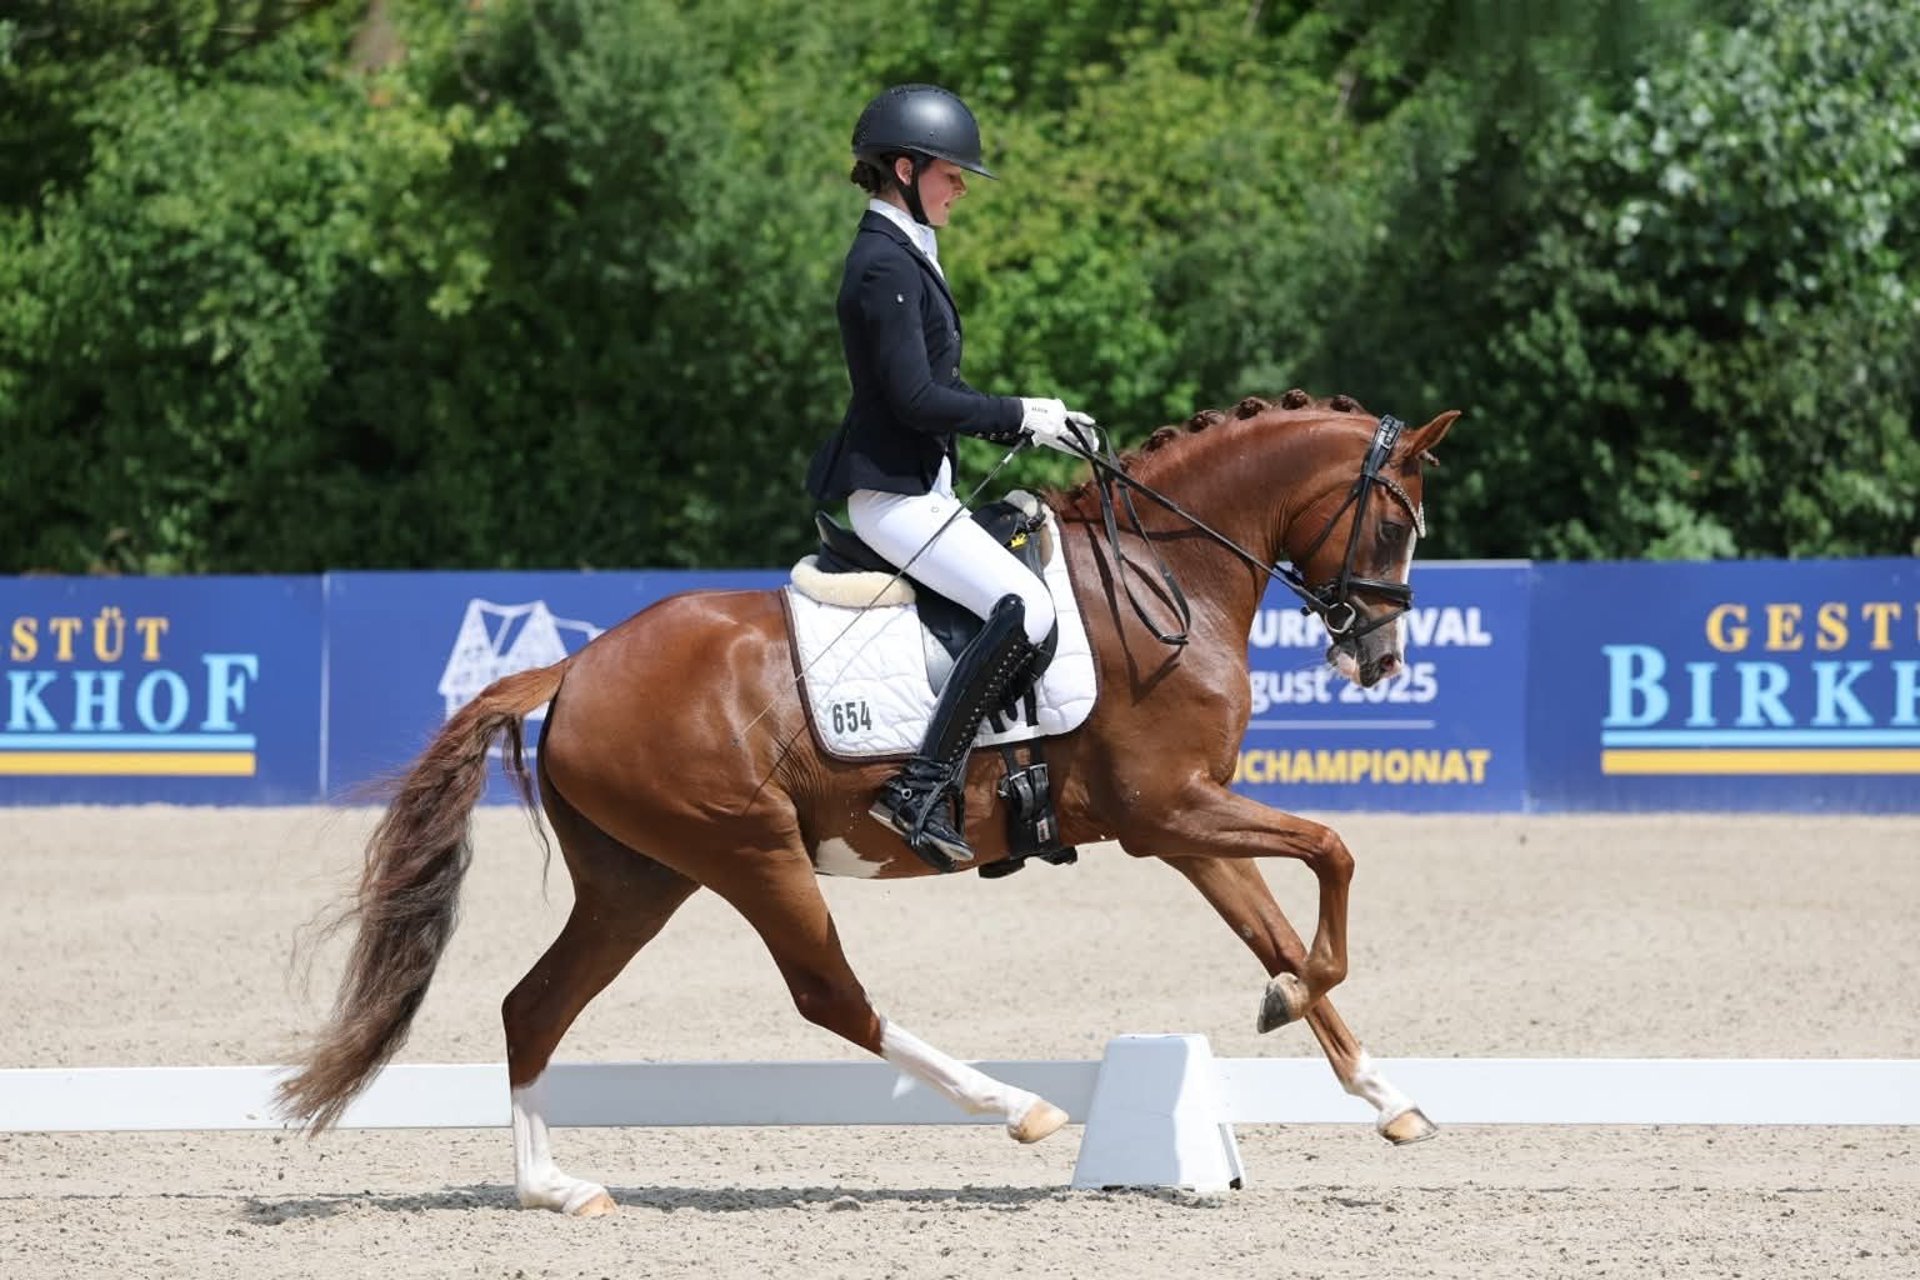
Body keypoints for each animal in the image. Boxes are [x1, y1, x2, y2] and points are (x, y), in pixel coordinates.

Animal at [276, 389, 1460, 1216]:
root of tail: (572, 668)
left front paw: (1376, 1086)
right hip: (751, 856)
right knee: (830, 998)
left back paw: (556, 1188)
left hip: (639, 879)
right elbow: (1335, 849)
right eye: (1396, 523)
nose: (1379, 656)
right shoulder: (1166, 812)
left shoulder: (1189, 818)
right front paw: (1292, 1002)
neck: (1163, 579)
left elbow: (1277, 922)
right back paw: (1016, 1107)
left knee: (535, 1004)